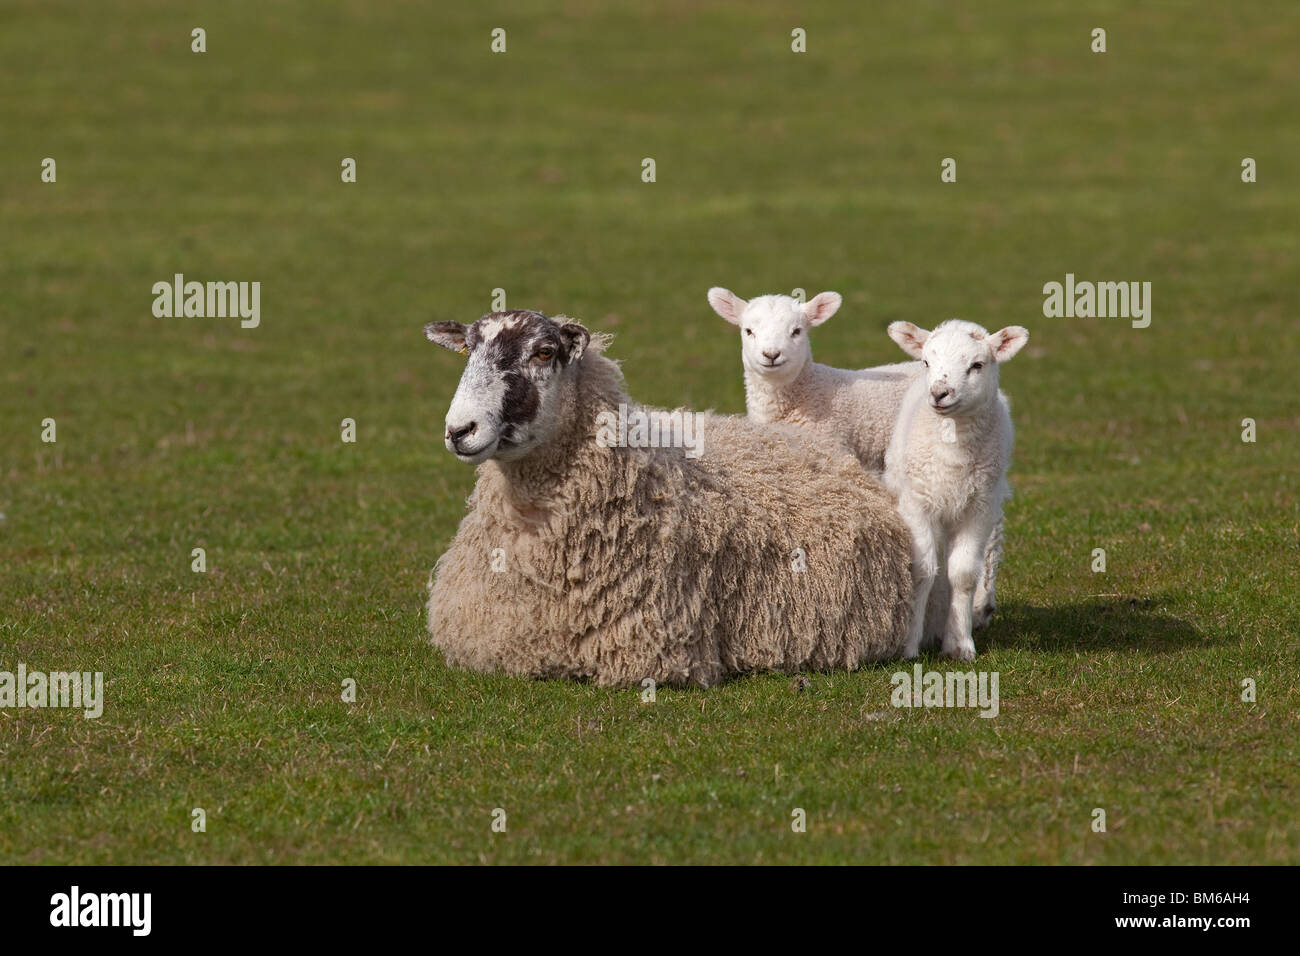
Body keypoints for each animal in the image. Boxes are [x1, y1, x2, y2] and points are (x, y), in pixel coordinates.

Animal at [706, 287, 1004, 636]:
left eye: (797, 331)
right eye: (748, 331)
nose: (771, 355)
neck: (805, 392)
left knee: (992, 532)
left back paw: (981, 605)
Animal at [883, 319, 1028, 661]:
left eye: (977, 365)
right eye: (926, 362)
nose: (939, 393)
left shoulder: (979, 509)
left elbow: (962, 574)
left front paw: (959, 644)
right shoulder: (917, 504)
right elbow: (922, 570)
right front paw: (908, 645)